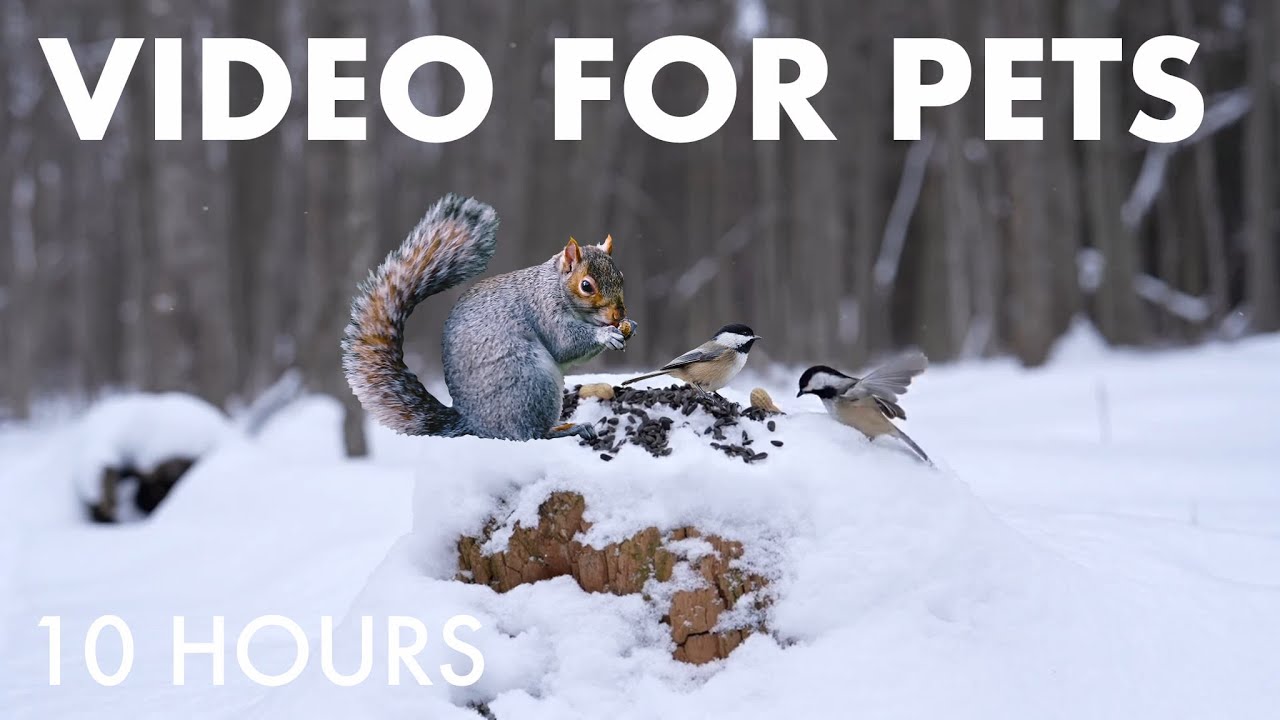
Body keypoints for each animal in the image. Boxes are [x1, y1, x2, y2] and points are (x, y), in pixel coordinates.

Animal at [342, 193, 634, 441]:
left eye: (621, 276)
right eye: (586, 286)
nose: (619, 314)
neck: (554, 285)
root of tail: (475, 424)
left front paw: (629, 327)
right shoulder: (543, 310)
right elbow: (565, 345)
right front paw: (605, 334)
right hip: (530, 383)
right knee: (530, 434)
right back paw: (565, 429)